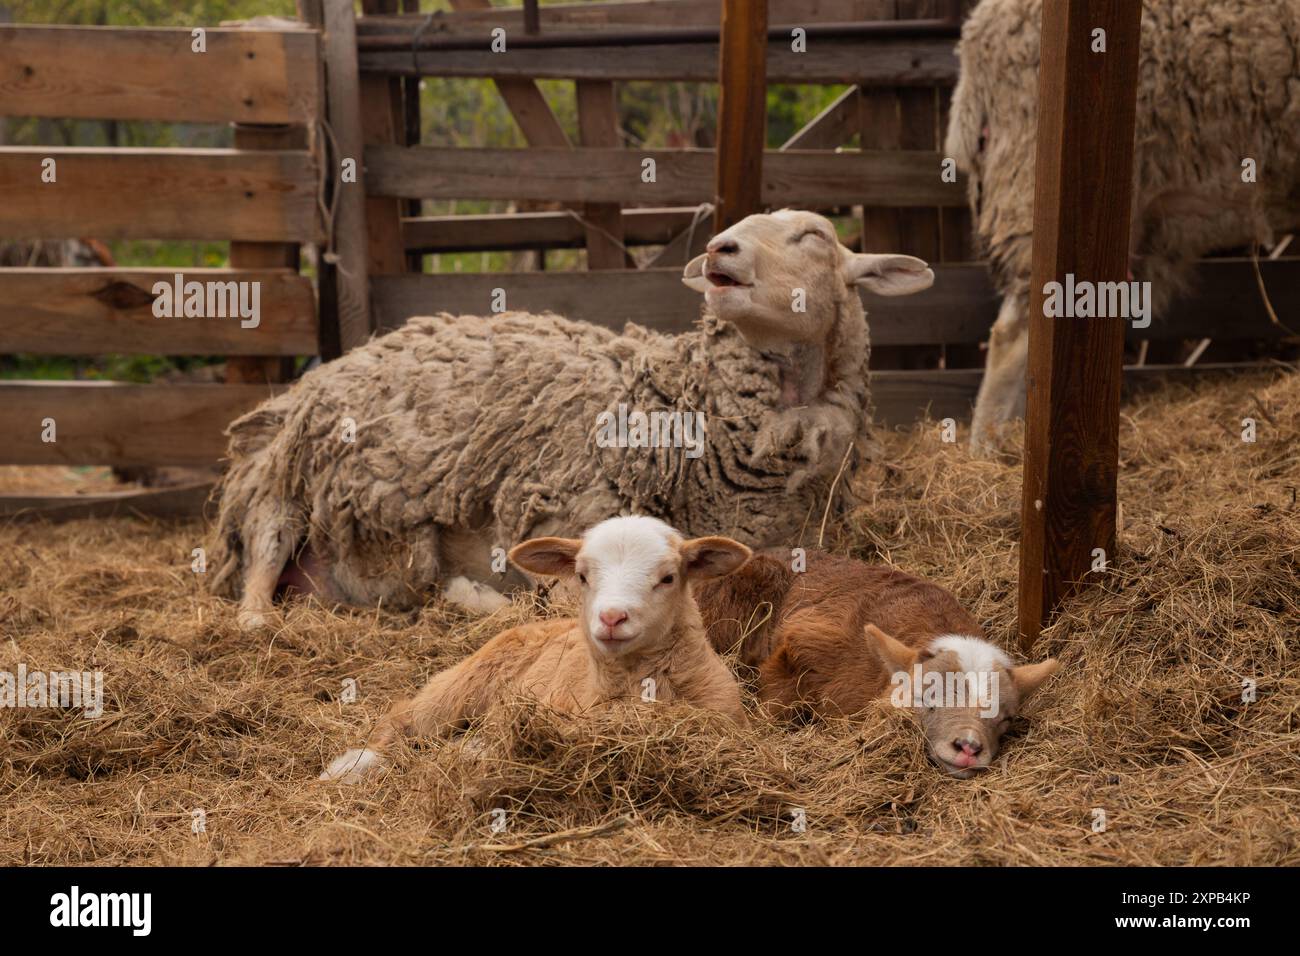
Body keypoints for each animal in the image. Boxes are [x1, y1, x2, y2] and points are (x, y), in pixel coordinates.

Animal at [320, 515, 751, 783]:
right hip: (457, 688)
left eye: (668, 578)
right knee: (401, 718)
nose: (612, 617)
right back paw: (352, 766)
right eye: (581, 576)